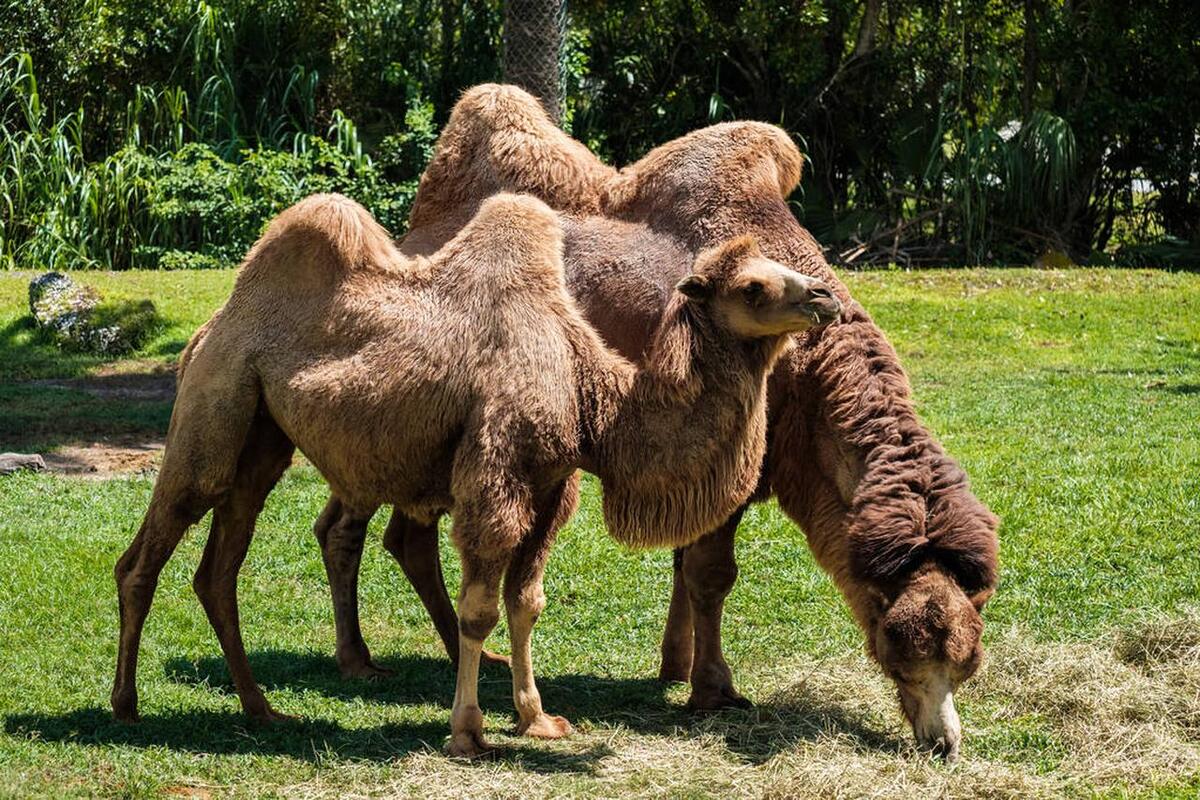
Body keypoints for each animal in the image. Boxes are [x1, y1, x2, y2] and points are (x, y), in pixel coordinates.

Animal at [110, 190, 841, 758]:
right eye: (752, 287)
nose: (825, 296)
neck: (589, 391)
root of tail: (207, 330)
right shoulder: (497, 476)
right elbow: (480, 608)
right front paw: (468, 731)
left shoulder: (551, 488)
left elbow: (526, 603)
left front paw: (537, 718)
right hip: (215, 406)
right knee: (150, 549)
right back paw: (125, 705)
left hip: (262, 441)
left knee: (219, 567)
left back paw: (260, 708)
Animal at [310, 85, 999, 761]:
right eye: (900, 644)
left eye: (968, 659)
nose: (944, 742)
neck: (804, 380)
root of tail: (416, 237)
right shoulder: (735, 464)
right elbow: (711, 575)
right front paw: (712, 687)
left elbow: (684, 562)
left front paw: (675, 665)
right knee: (352, 525)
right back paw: (362, 659)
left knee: (400, 532)